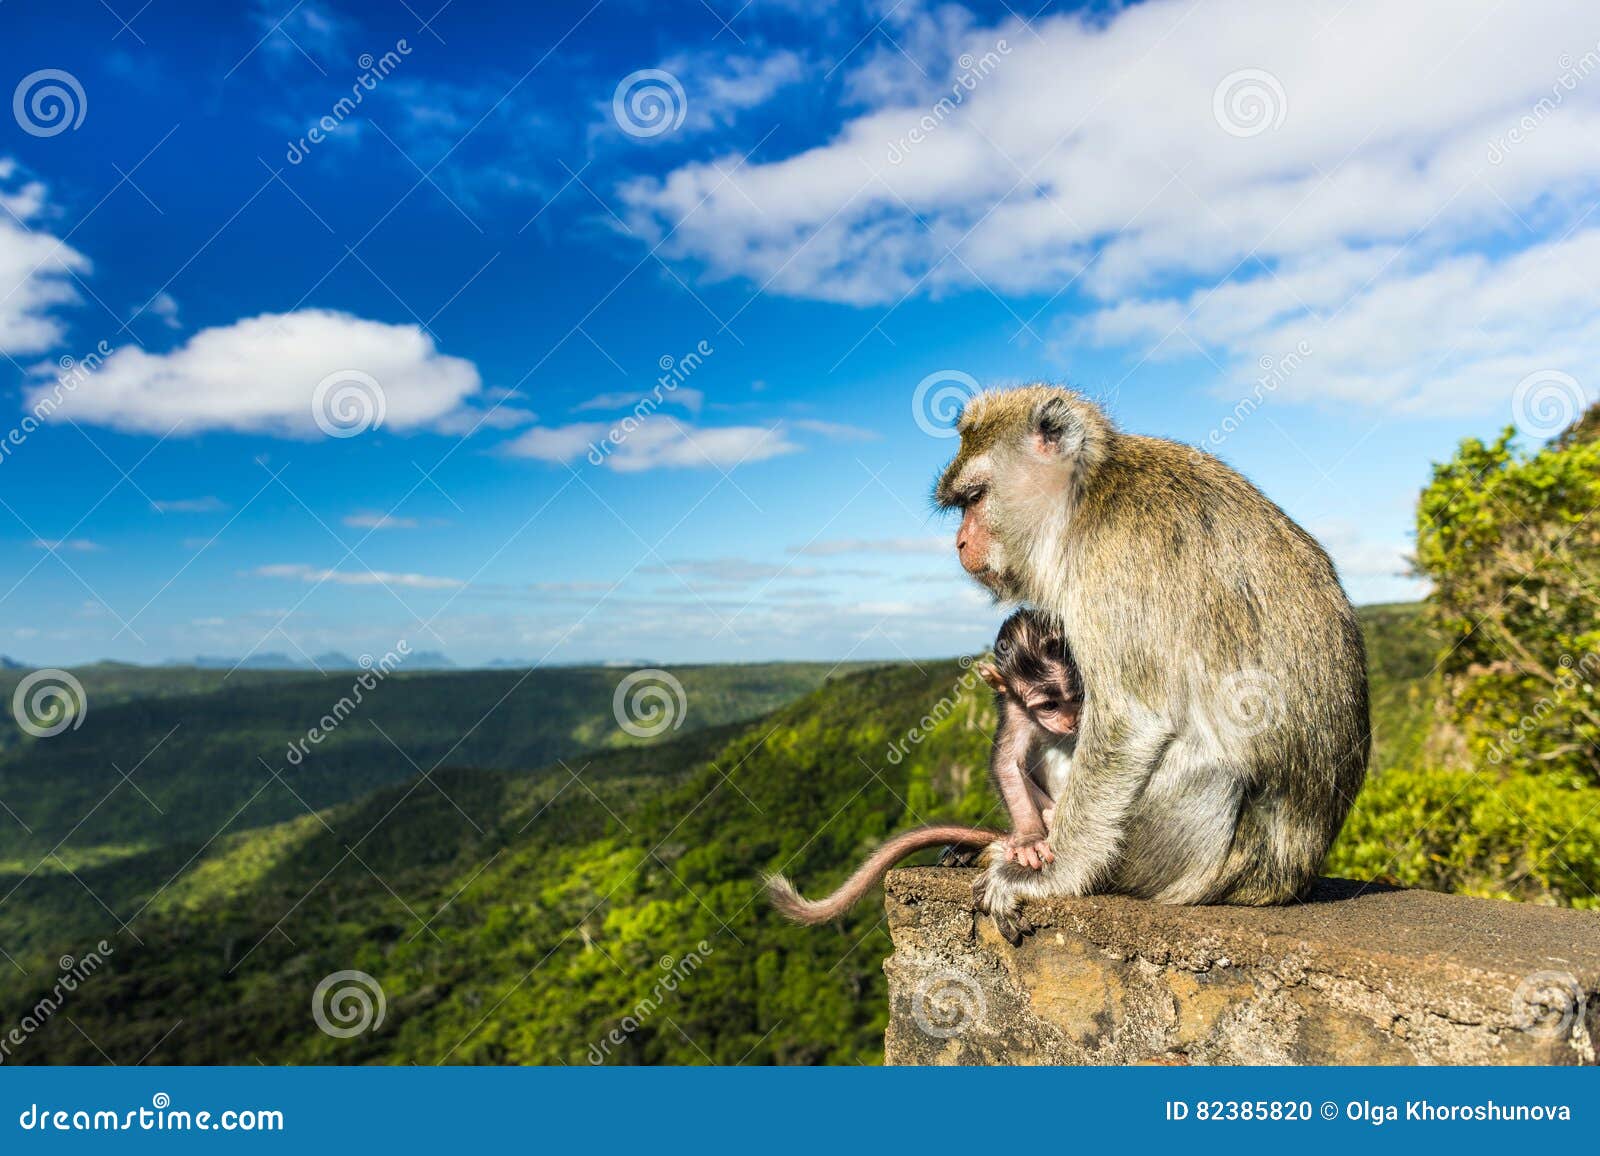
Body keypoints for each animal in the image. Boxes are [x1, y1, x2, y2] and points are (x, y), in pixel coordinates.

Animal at [765, 609, 1085, 924]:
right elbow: (1007, 762)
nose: (1072, 721)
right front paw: (1029, 839)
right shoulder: (1014, 707)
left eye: (1077, 697)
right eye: (1049, 705)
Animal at [935, 385, 1370, 943]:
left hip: (1182, 859)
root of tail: (1278, 885)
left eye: (975, 499)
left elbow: (1128, 721)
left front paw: (1050, 873)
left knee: (1211, 774)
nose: (961, 542)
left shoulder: (1111, 567)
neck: (1084, 499)